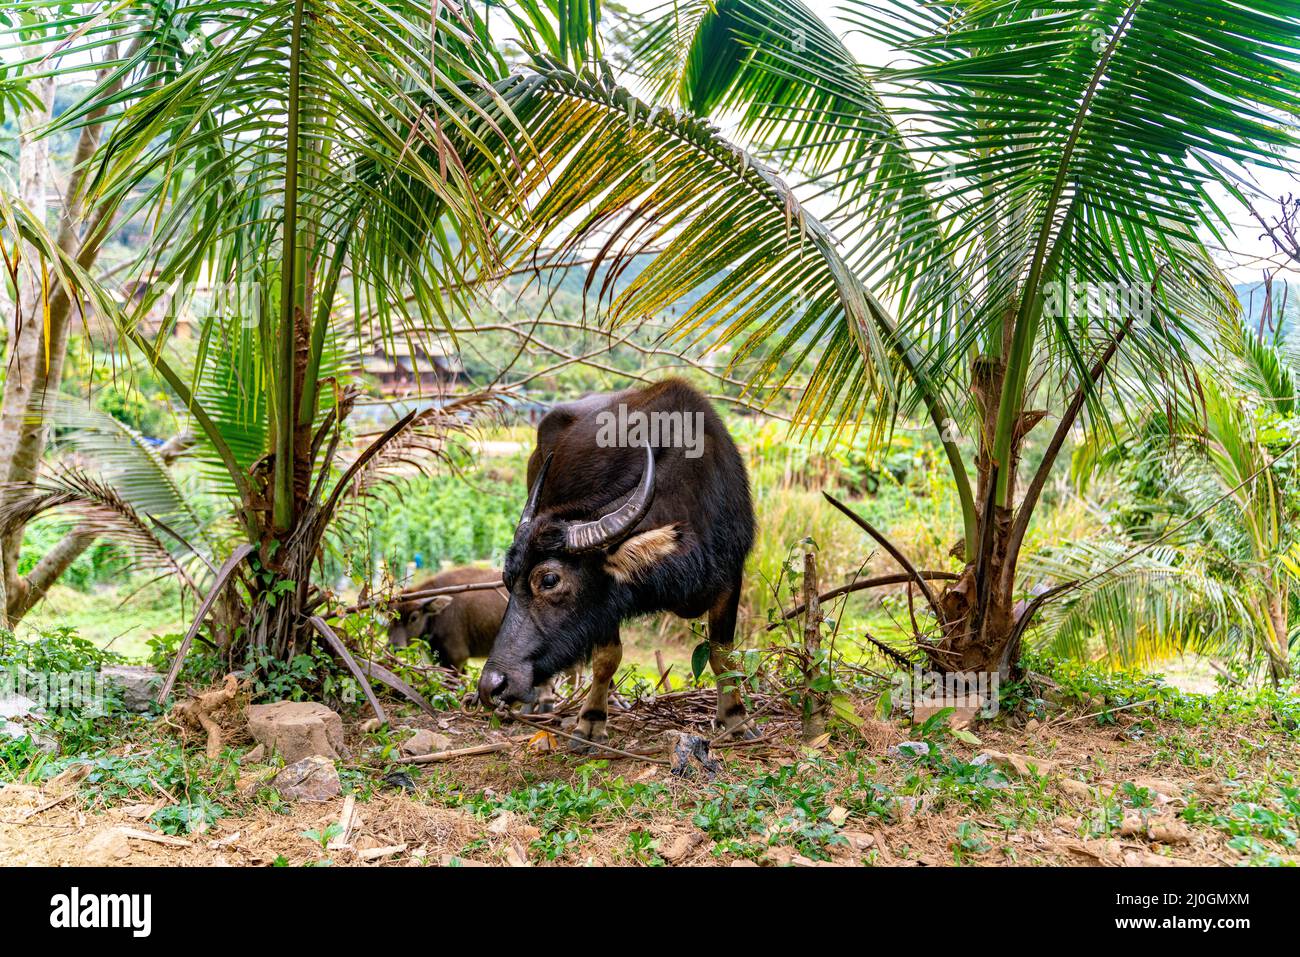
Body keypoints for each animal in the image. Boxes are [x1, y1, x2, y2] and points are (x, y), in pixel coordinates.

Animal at [477, 379, 757, 751]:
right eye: (508, 580)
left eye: (549, 580)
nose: (491, 685)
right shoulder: (604, 605)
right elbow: (607, 657)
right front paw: (591, 722)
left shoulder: (731, 575)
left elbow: (723, 654)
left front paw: (736, 717)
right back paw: (548, 697)